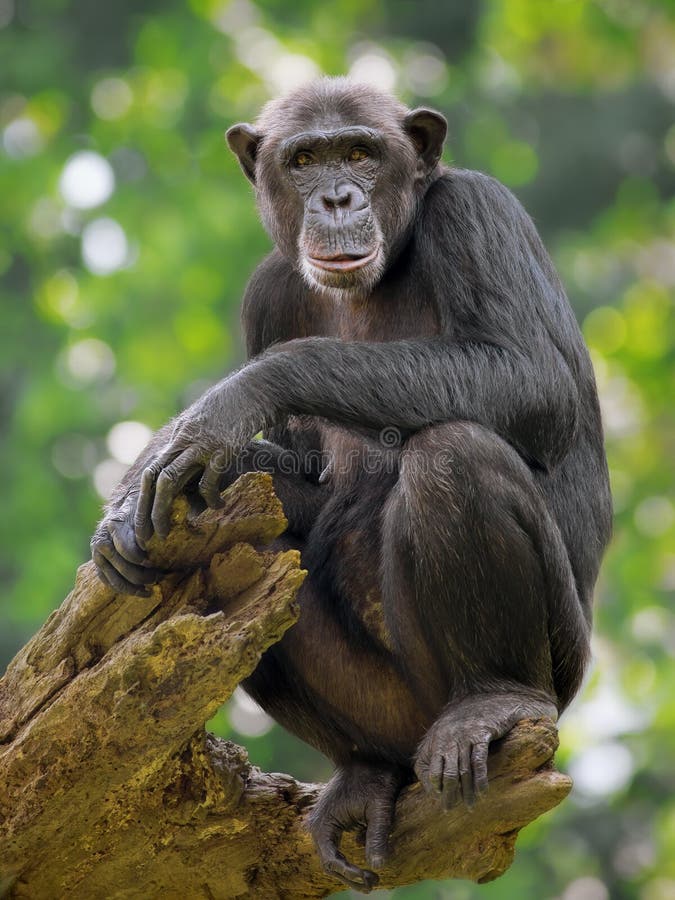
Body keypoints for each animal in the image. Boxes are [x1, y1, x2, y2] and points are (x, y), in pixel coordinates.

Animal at [91, 77, 612, 892]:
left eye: (362, 153)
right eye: (305, 160)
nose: (337, 196)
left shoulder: (478, 211)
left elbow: (530, 376)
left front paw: (218, 412)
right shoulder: (267, 293)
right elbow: (297, 480)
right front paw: (149, 488)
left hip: (555, 672)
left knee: (454, 453)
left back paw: (492, 701)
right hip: (385, 714)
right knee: (246, 550)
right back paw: (363, 776)